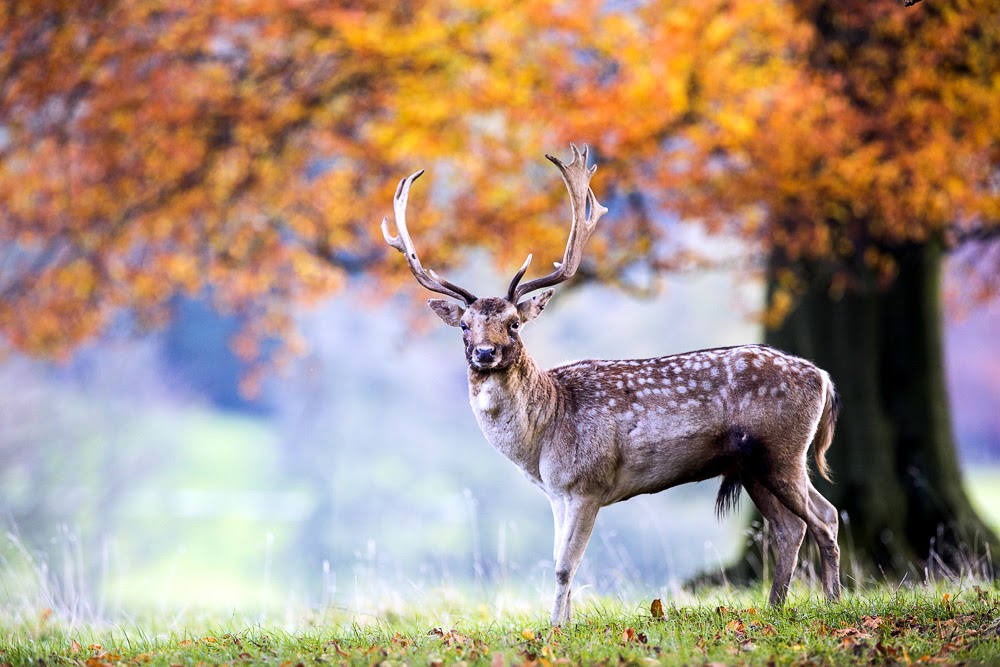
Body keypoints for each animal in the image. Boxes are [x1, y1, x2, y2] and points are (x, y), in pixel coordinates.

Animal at [380, 145, 842, 625]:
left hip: (783, 449)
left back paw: (832, 602)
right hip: (753, 464)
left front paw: (556, 628)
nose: (485, 353)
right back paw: (775, 608)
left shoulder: (588, 482)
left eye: (513, 324)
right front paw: (561, 624)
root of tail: (823, 377)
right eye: (464, 326)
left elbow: (565, 565)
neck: (544, 430)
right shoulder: (557, 492)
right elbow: (557, 559)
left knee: (825, 516)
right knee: (790, 527)